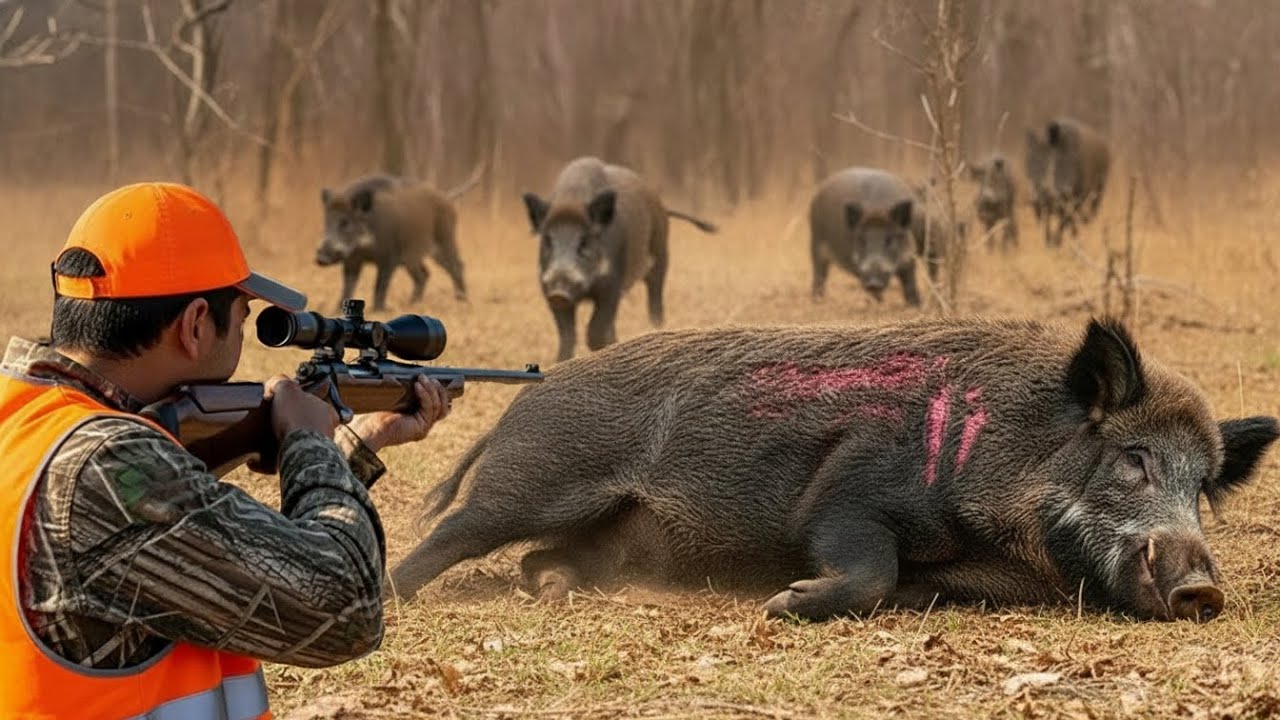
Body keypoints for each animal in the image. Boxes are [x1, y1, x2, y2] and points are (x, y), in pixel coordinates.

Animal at [316, 174, 468, 312]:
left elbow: (380, 285)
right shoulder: (352, 260)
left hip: (444, 240)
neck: (364, 248)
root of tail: (446, 198)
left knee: (456, 266)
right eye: (326, 221)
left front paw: (378, 310)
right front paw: (336, 310)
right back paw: (412, 304)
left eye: (345, 222)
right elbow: (348, 286)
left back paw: (461, 301)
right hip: (413, 258)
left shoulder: (389, 258)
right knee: (424, 274)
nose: (321, 258)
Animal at [387, 315, 1277, 624]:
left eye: (1202, 486)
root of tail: (523, 403)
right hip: (532, 481)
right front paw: (783, 601)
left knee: (543, 560)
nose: (1203, 590)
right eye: (1134, 459)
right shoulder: (848, 490)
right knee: (445, 536)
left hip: (612, 537)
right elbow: (867, 565)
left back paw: (552, 590)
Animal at [522, 156, 717, 363]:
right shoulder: (547, 290)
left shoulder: (613, 284)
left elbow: (596, 332)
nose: (559, 293)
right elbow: (567, 337)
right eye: (547, 240)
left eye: (585, 241)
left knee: (655, 299)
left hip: (661, 254)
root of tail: (661, 206)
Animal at [810, 167, 940, 308]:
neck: (876, 208)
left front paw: (916, 305)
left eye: (889, 239)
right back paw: (817, 300)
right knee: (819, 275)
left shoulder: (909, 256)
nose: (874, 283)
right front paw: (879, 304)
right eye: (862, 240)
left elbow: (909, 282)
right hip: (815, 242)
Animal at [1025, 117, 1111, 247]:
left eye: (1061, 165)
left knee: (1094, 204)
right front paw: (1049, 242)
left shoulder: (1076, 194)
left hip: (1101, 182)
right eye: (1030, 167)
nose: (1042, 199)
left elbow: (1065, 218)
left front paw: (1058, 242)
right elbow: (1050, 221)